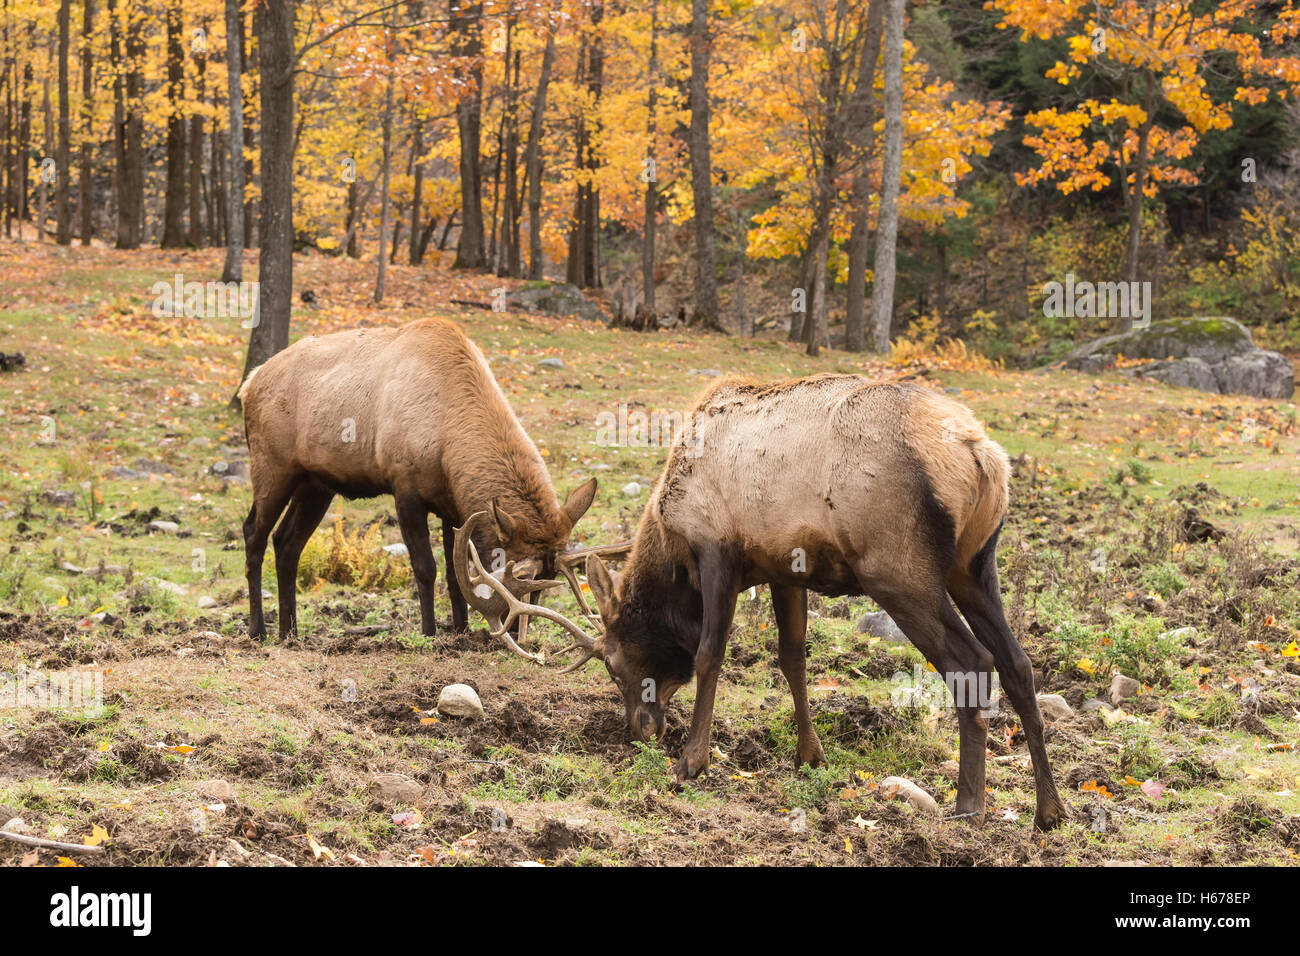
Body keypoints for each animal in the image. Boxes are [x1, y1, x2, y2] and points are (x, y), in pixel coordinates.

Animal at [237, 317, 609, 658]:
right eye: (515, 573)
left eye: (544, 583)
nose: (517, 634)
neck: (447, 446)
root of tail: (249, 383)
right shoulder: (405, 489)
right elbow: (425, 567)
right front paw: (430, 633)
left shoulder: (453, 508)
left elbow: (456, 576)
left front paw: (460, 631)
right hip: (272, 466)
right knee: (254, 532)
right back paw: (258, 631)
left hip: (316, 484)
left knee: (287, 542)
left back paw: (290, 632)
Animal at [458, 374, 1068, 830]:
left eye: (612, 663)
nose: (639, 728)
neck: (671, 540)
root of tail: (982, 456)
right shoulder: (785, 568)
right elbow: (792, 655)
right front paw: (808, 755)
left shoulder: (718, 551)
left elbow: (709, 654)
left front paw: (690, 762)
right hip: (975, 565)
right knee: (1019, 663)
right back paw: (1049, 811)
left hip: (899, 570)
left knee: (974, 662)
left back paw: (968, 806)